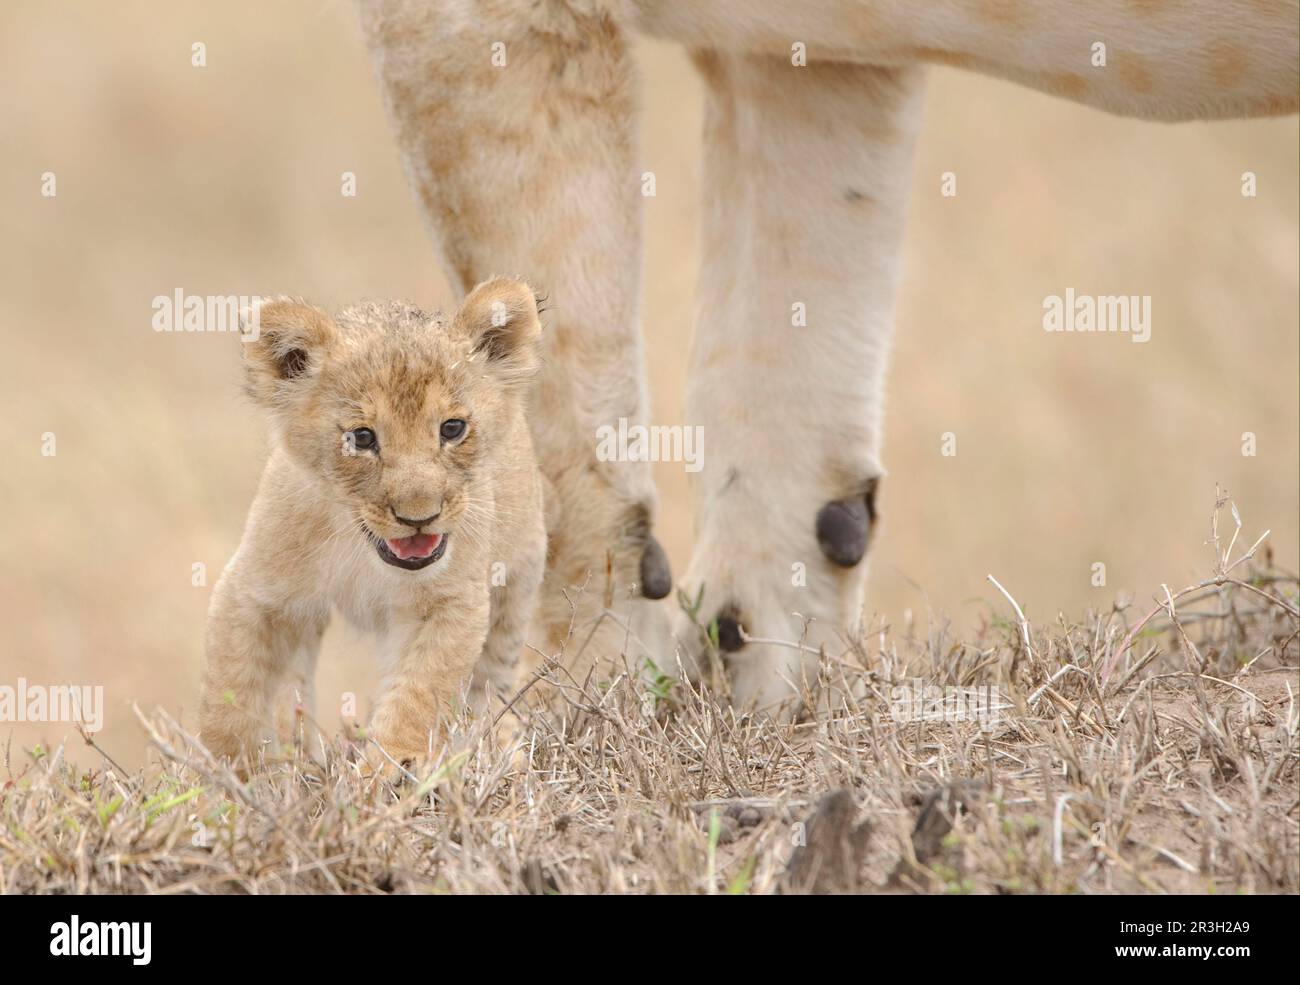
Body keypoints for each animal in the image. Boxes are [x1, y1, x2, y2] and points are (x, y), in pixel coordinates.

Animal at [198, 278, 548, 769]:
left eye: (452, 428)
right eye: (361, 438)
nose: (419, 517)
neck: (362, 551)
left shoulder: (453, 601)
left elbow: (419, 692)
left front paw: (390, 768)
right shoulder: (254, 591)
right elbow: (228, 692)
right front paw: (221, 776)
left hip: (516, 591)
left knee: (488, 685)